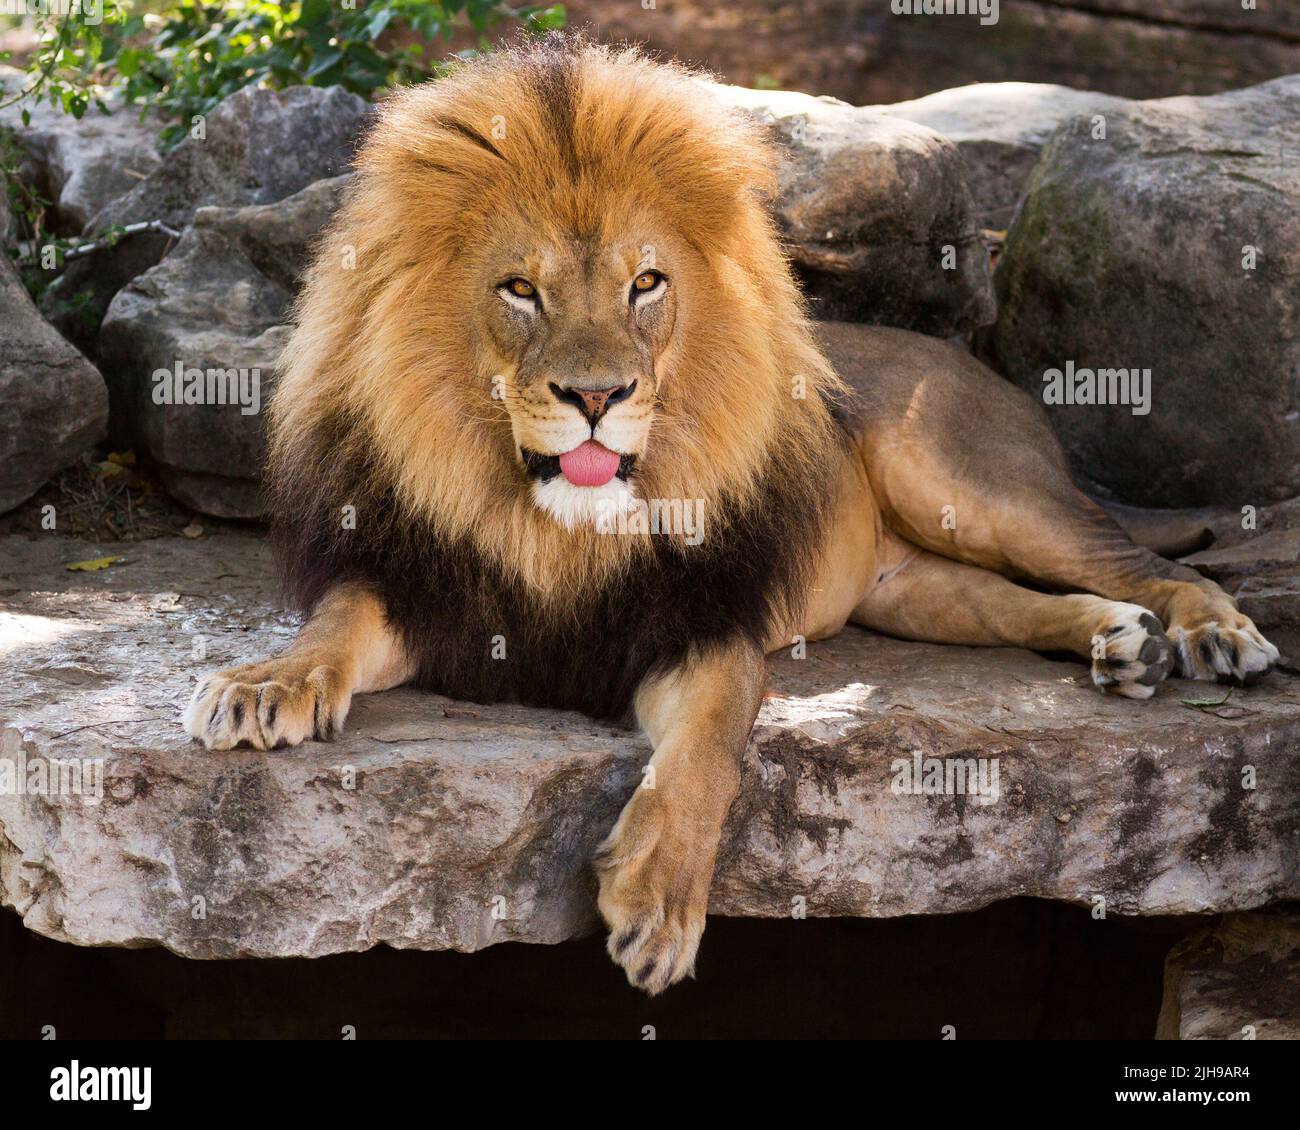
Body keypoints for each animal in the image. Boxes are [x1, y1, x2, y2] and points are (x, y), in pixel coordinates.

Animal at [183, 38, 1279, 994]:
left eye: (646, 283)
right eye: (520, 289)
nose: (597, 394)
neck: (555, 528)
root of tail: (962, 357)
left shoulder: (700, 624)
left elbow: (708, 749)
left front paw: (659, 905)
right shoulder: (425, 595)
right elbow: (334, 625)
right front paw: (264, 684)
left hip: (966, 484)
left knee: (1149, 560)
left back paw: (1212, 633)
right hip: (908, 587)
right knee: (1015, 601)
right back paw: (1117, 642)